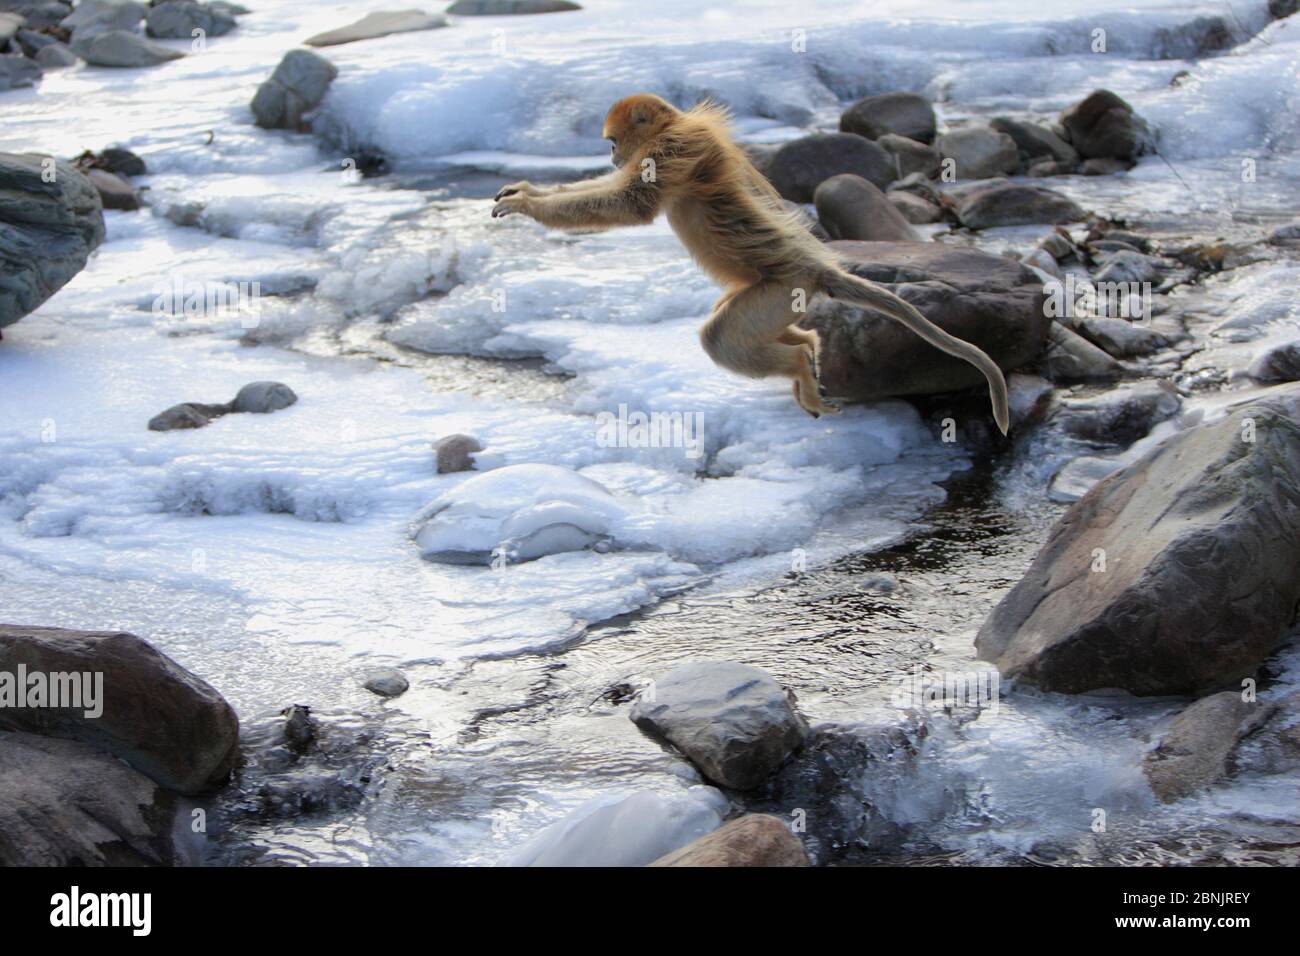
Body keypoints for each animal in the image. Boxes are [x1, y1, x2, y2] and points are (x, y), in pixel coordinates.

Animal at [492, 93, 1009, 433]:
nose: (616, 154)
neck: (672, 129)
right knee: (759, 327)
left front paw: (528, 204)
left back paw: (799, 362)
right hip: (779, 296)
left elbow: (629, 204)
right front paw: (529, 191)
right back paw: (808, 348)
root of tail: (817, 270)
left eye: (613, 140)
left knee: (720, 337)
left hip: (783, 289)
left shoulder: (671, 151)